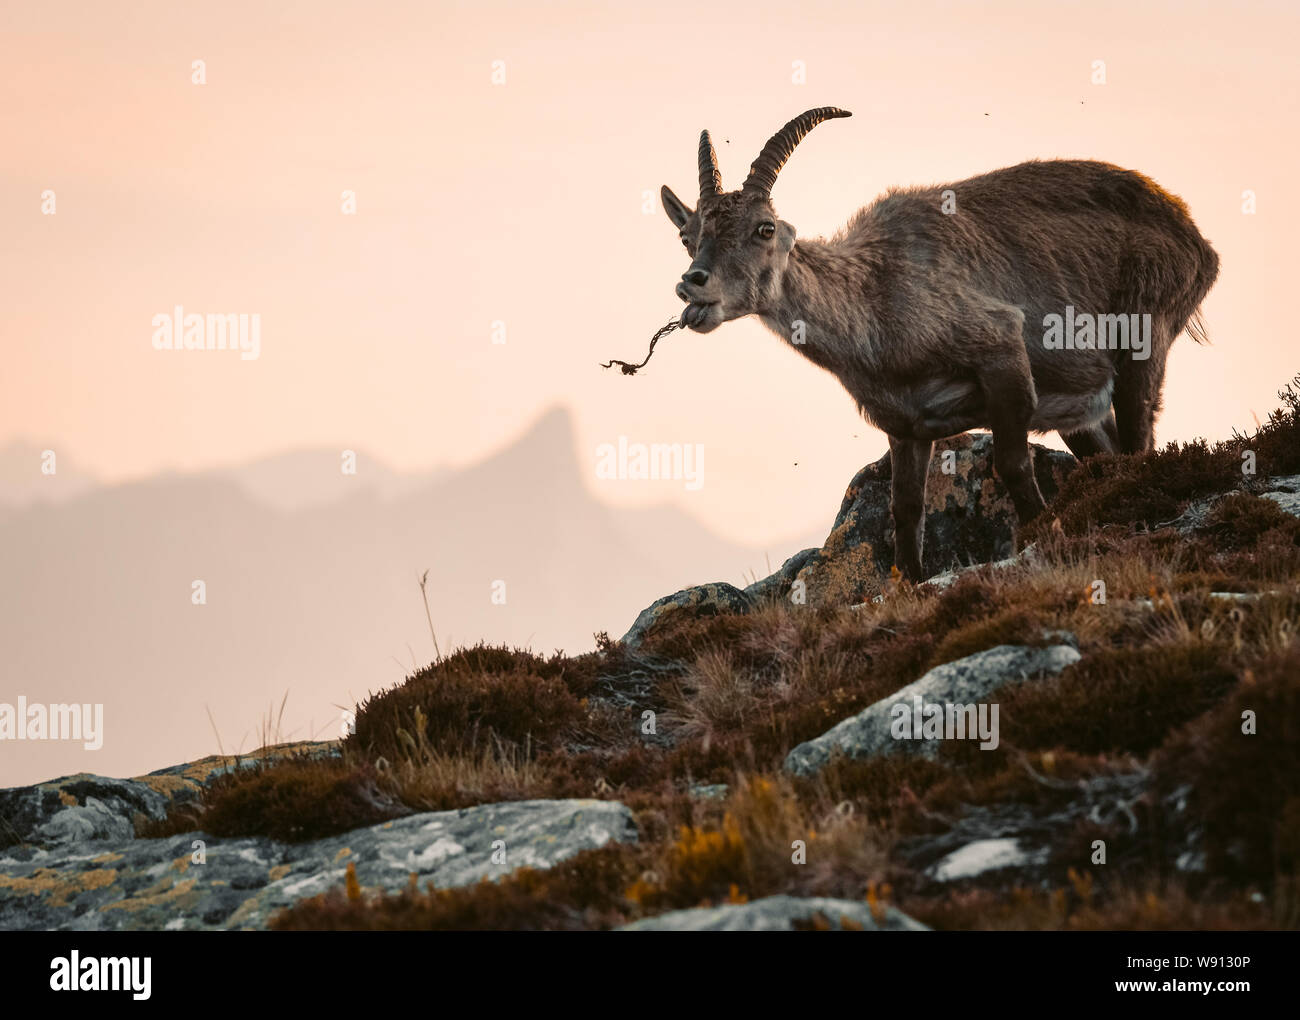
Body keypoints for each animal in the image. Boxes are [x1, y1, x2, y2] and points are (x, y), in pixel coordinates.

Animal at [660, 107, 1219, 581]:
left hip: (1145, 334)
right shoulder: (906, 425)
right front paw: (910, 582)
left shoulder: (1002, 351)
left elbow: (1012, 465)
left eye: (764, 228)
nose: (693, 284)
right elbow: (906, 511)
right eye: (688, 237)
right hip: (1077, 410)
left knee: (1140, 441)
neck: (877, 299)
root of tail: (1195, 237)